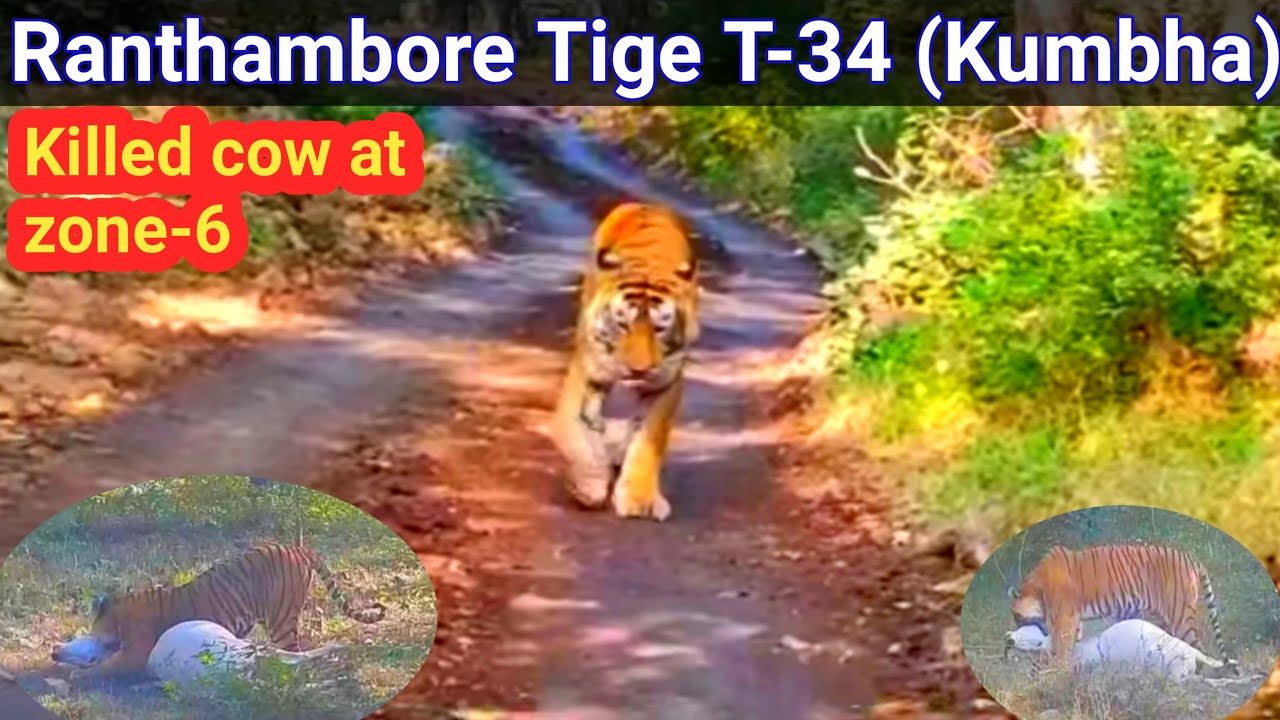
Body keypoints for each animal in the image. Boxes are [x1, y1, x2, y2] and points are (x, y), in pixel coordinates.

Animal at [52, 543, 384, 682]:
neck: (121, 613)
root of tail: (297, 548)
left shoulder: (136, 652)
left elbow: (105, 666)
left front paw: (76, 675)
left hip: (281, 621)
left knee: (292, 653)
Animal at [551, 201, 700, 522]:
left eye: (659, 328)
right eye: (623, 325)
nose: (638, 369)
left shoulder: (666, 381)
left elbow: (648, 440)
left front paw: (639, 500)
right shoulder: (587, 371)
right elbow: (574, 434)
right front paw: (587, 484)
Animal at [1007, 543, 1229, 670]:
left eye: (1017, 616)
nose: (1013, 630)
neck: (1038, 588)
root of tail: (1190, 558)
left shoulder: (1064, 618)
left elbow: (1061, 645)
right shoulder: (1073, 619)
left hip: (1181, 616)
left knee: (1197, 647)